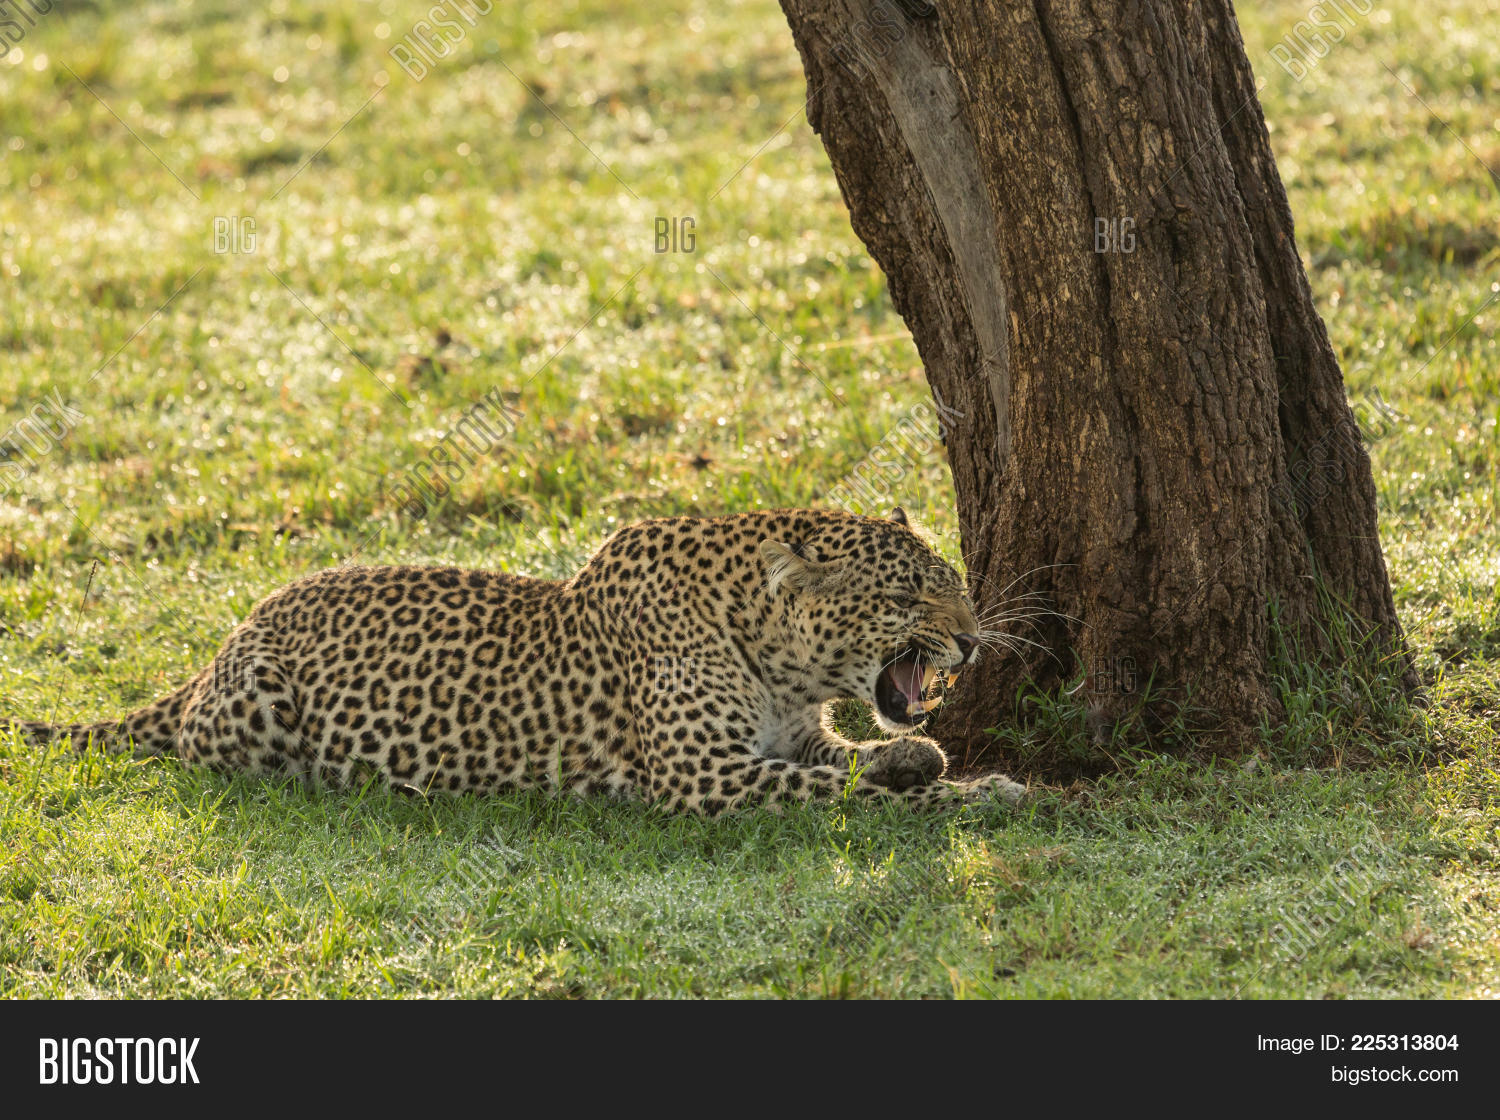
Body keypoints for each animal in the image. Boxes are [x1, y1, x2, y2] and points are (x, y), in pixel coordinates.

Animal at [13, 507, 1025, 815]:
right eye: (910, 598)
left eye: (956, 585)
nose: (973, 638)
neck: (779, 661)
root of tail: (227, 635)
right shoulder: (703, 781)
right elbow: (846, 791)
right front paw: (975, 792)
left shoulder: (789, 739)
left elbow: (850, 757)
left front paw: (929, 759)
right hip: (256, 709)